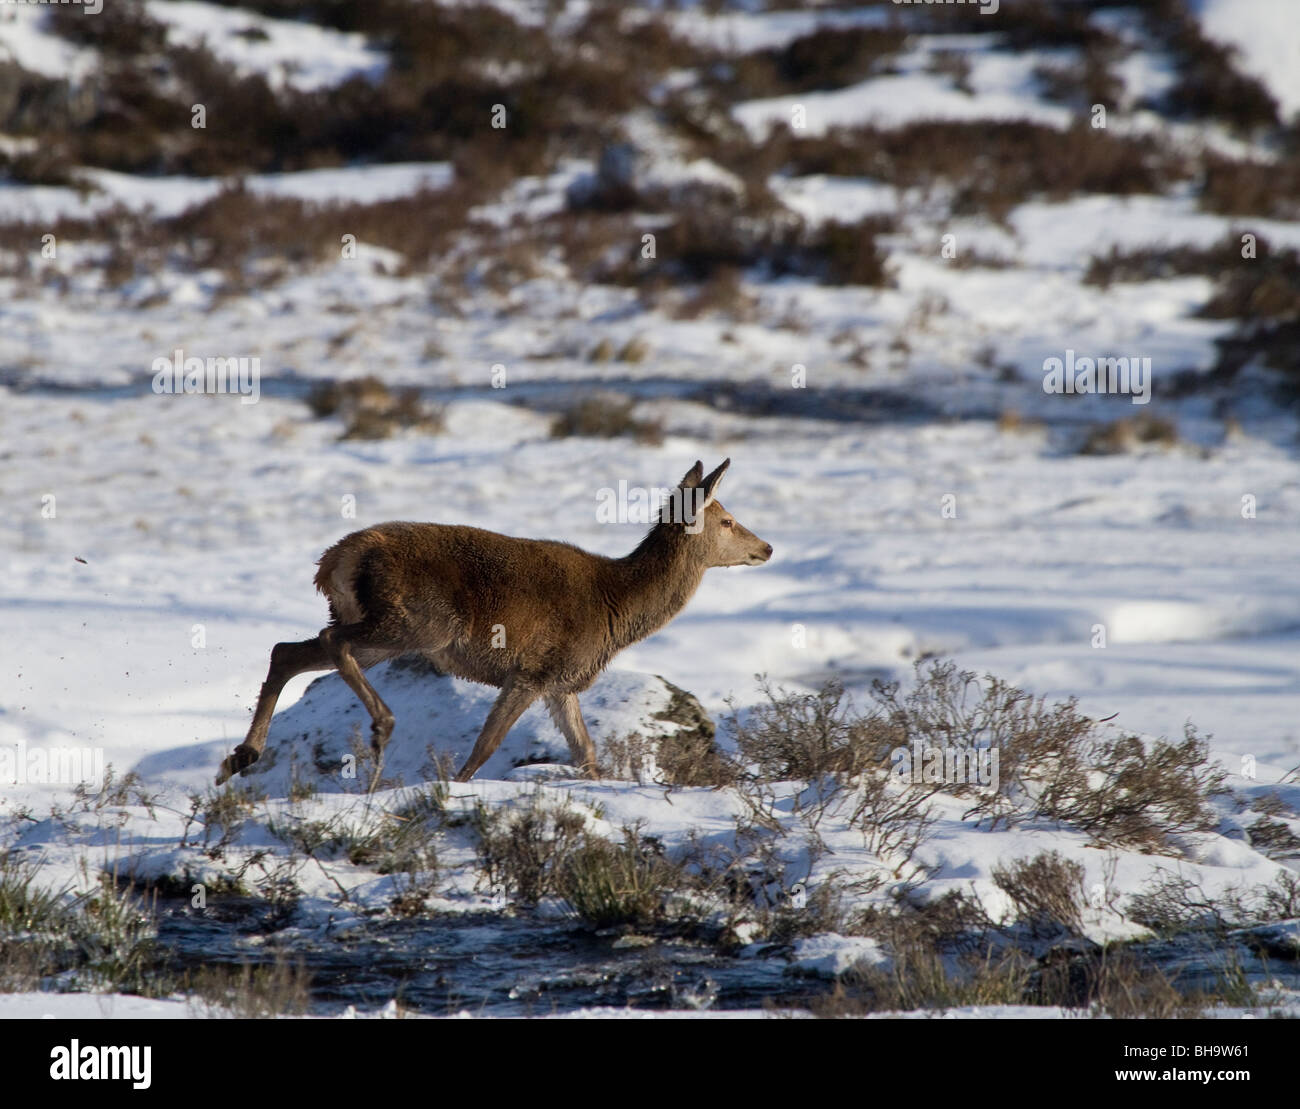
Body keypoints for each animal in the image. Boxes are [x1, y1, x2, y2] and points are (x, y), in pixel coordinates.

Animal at [216, 459, 772, 786]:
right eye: (727, 520)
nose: (766, 547)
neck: (617, 612)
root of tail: (333, 560)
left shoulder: (561, 683)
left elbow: (587, 753)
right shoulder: (531, 670)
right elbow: (485, 747)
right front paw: (455, 787)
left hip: (383, 626)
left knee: (288, 650)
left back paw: (239, 759)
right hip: (417, 621)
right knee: (329, 640)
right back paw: (380, 726)